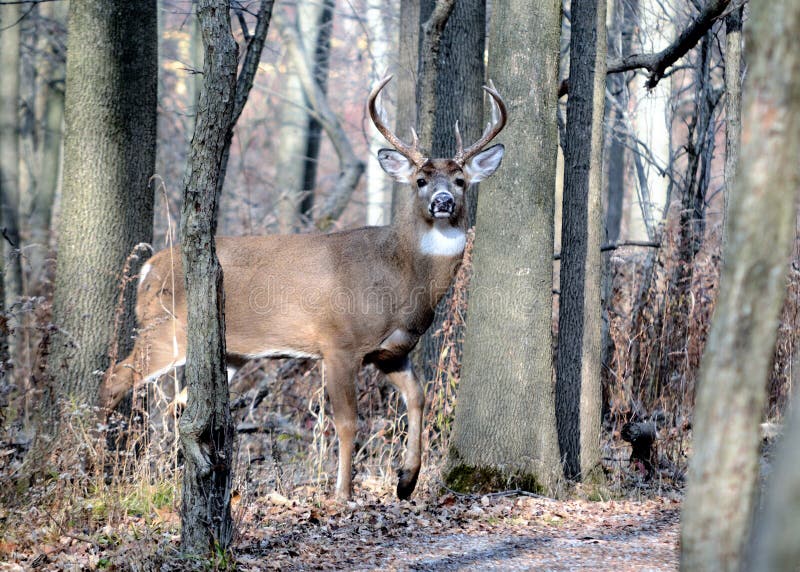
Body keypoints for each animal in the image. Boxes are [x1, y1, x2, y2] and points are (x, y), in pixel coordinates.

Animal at [99, 76, 507, 501]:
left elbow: (418, 396)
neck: (401, 277)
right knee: (114, 381)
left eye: (460, 180)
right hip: (164, 330)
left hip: (228, 353)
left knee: (177, 408)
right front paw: (343, 494)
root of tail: (148, 267)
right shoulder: (339, 343)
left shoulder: (391, 351)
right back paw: (101, 467)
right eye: (420, 180)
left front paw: (406, 480)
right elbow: (347, 422)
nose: (442, 202)